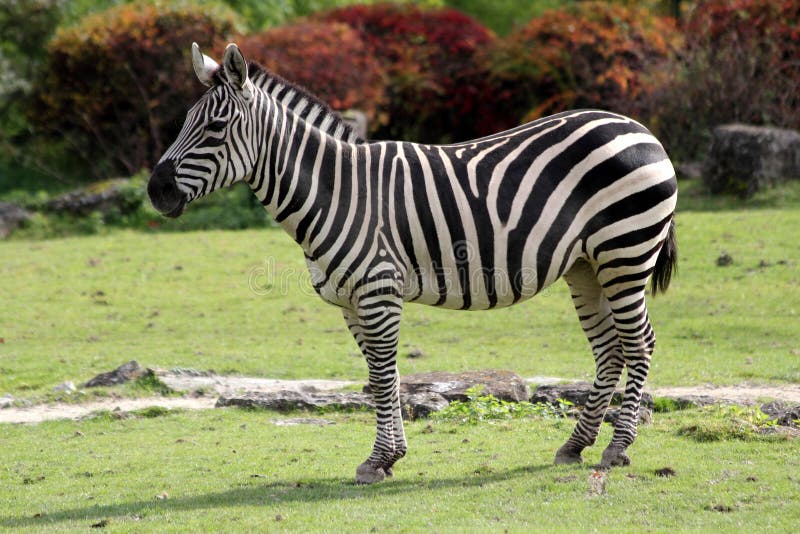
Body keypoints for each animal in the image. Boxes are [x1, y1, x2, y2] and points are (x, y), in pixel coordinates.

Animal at [148, 43, 678, 484]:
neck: (338, 191)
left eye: (215, 128)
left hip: (625, 253)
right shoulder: (351, 301)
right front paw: (391, 456)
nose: (156, 191)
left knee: (641, 344)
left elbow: (383, 377)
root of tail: (638, 128)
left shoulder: (378, 291)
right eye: (184, 121)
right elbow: (381, 378)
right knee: (610, 350)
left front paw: (378, 461)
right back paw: (574, 446)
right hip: (586, 265)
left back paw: (617, 449)